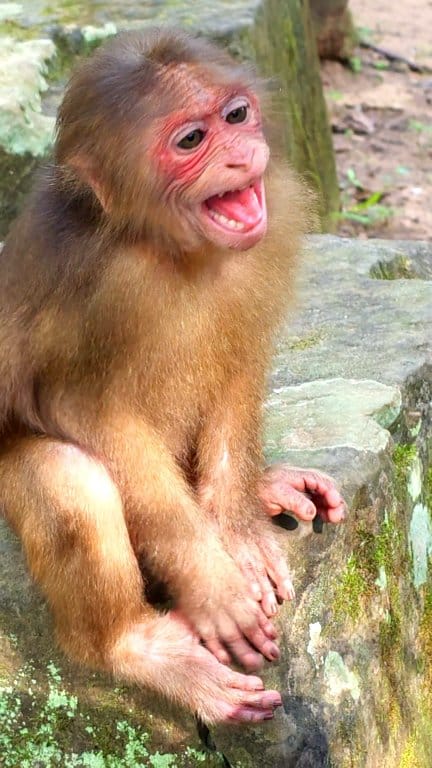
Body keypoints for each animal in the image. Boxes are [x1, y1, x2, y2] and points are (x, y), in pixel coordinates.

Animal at [0, 28, 345, 725]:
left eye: (236, 115)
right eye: (190, 141)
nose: (241, 156)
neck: (165, 248)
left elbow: (238, 363)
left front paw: (236, 531)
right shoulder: (98, 289)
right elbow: (83, 410)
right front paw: (211, 581)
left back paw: (266, 486)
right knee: (71, 477)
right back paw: (135, 649)